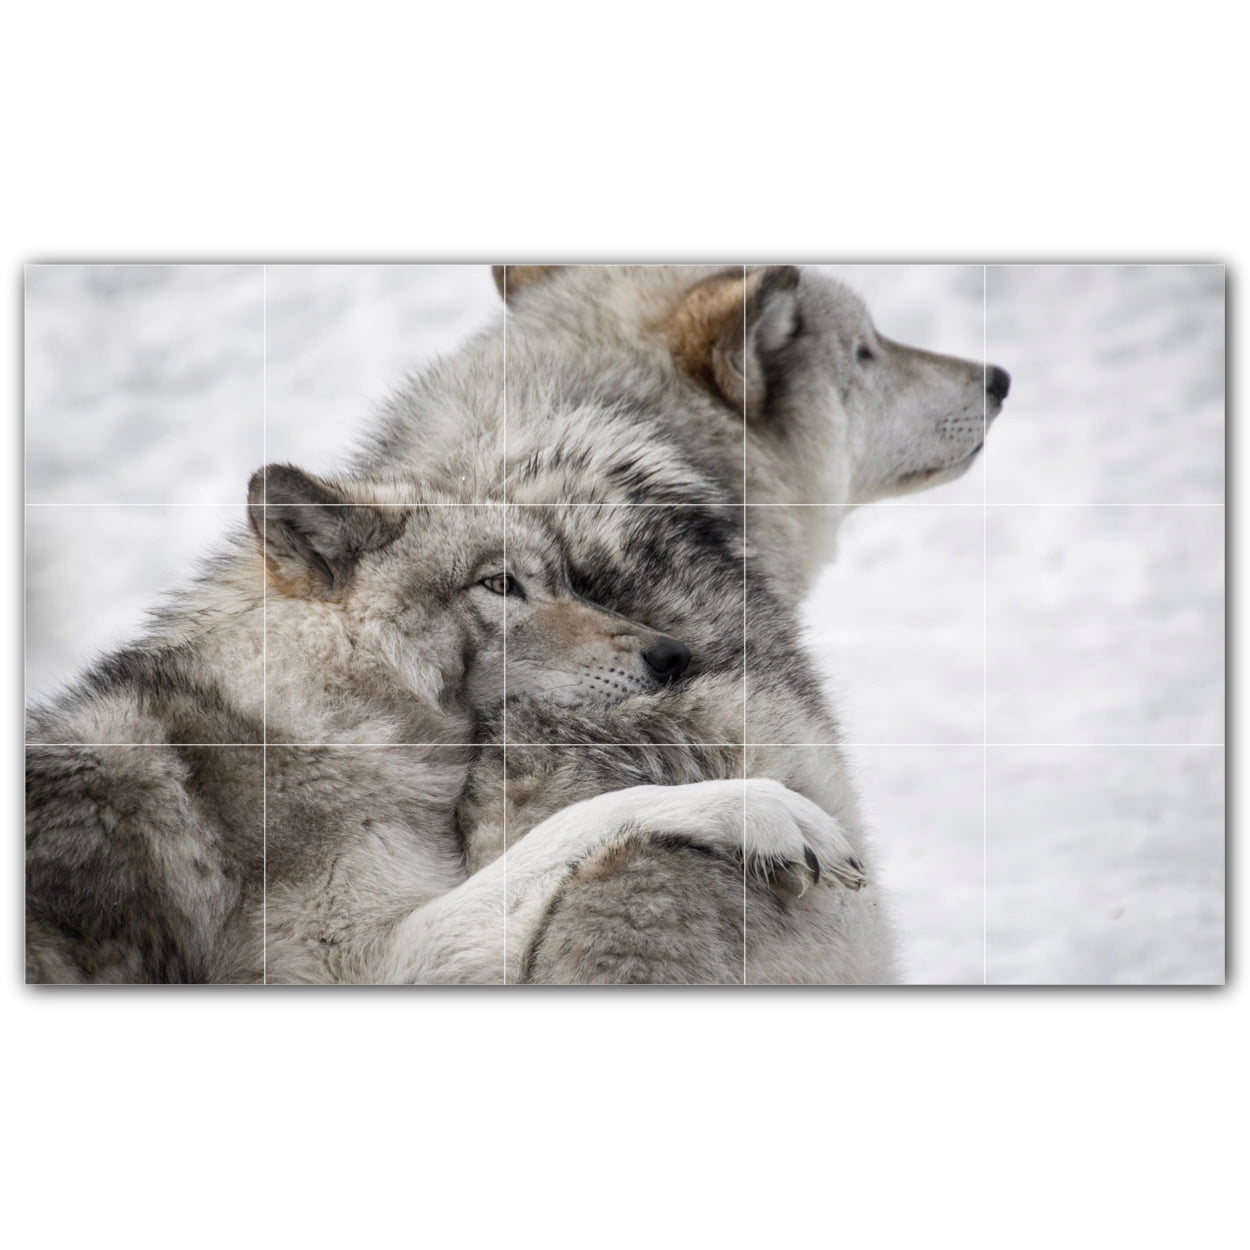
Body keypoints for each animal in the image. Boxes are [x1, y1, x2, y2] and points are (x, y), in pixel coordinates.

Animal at [26, 463, 862, 982]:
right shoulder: (360, 964)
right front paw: (765, 811)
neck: (310, 716)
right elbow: (590, 816)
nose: (672, 655)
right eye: (500, 584)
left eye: (565, 580)